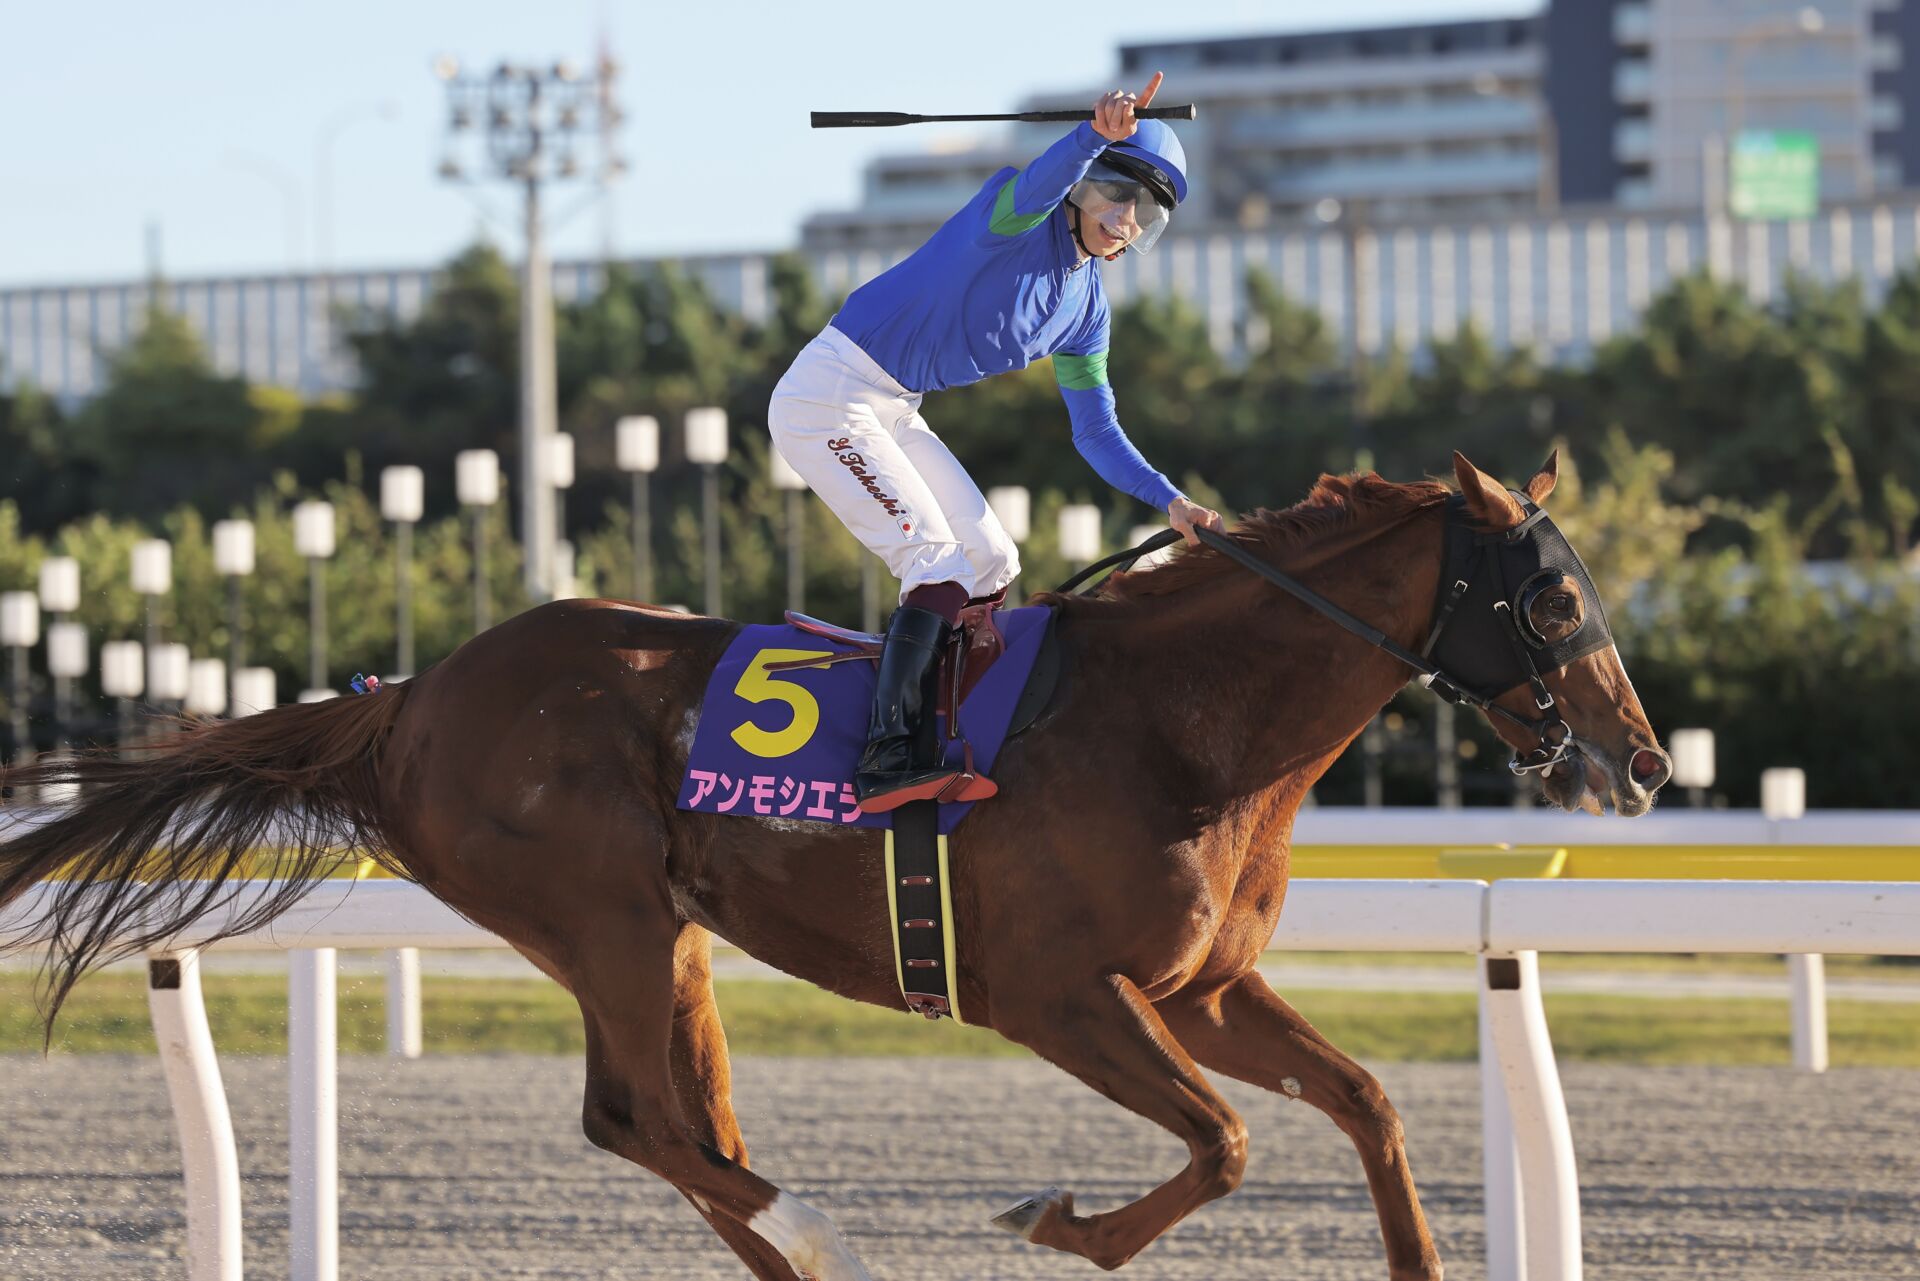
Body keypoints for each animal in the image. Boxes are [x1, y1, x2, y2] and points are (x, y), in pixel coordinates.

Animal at [0, 452, 1671, 1281]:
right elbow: (1224, 1143)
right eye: (1550, 598)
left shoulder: (1200, 987)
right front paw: (1055, 1222)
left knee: (681, 1129)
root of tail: (406, 696)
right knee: (637, 1125)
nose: (1645, 761)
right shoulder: (1056, 995)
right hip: (601, 914)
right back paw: (826, 1234)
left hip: (665, 938)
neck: (1177, 723)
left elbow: (1363, 1103)